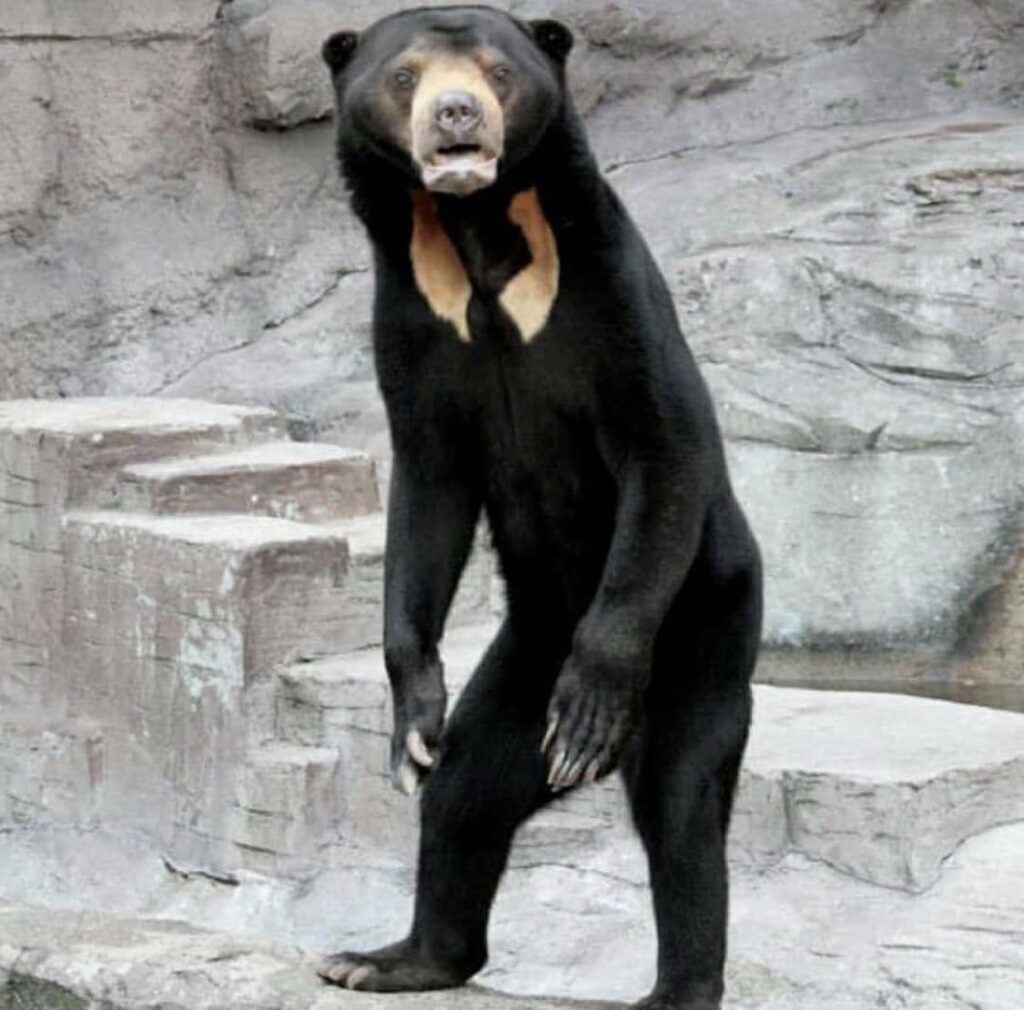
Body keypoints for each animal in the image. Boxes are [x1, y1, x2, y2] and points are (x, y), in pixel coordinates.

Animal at [318, 7, 762, 1009]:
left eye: (496, 71)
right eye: (404, 76)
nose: (454, 117)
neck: (476, 234)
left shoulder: (608, 289)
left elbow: (663, 442)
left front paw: (591, 704)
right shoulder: (409, 318)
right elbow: (428, 487)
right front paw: (412, 724)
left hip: (709, 623)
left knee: (681, 801)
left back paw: (676, 985)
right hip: (525, 657)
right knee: (471, 785)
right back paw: (390, 958)